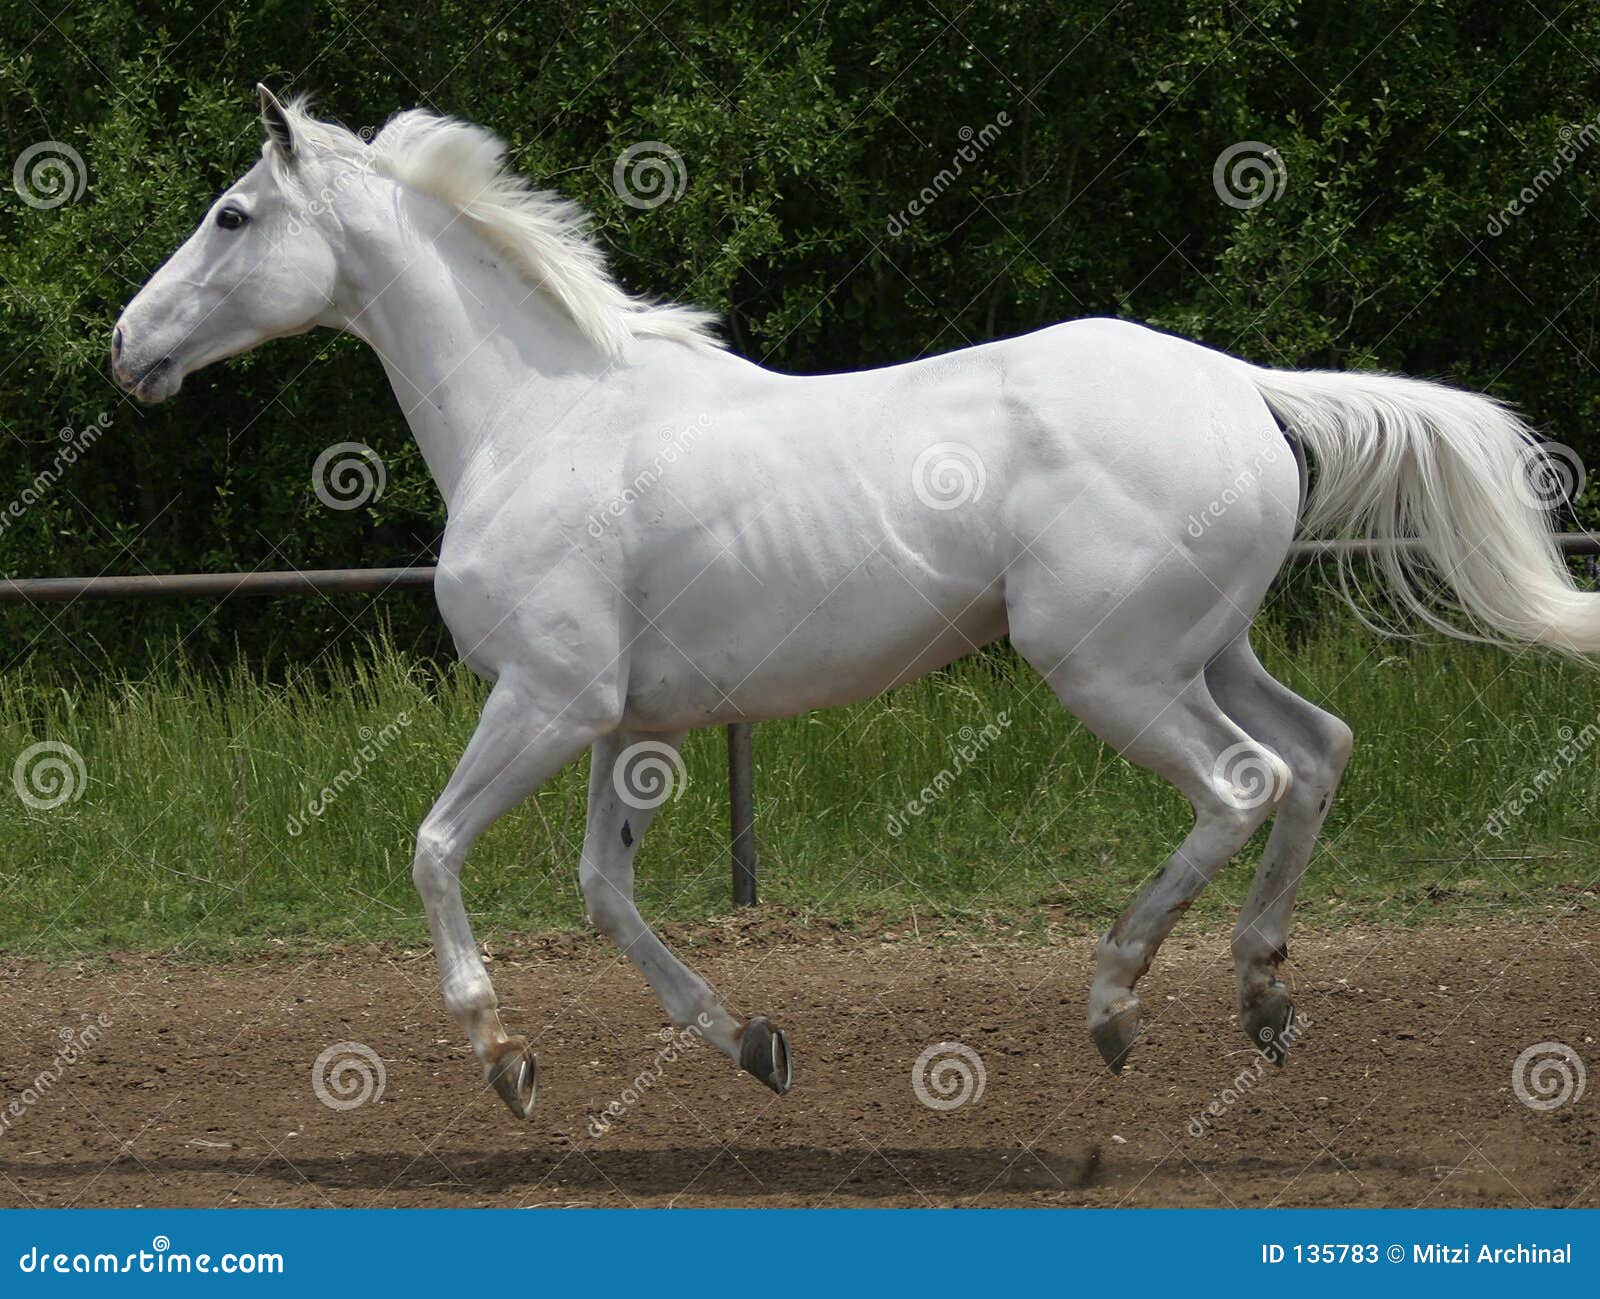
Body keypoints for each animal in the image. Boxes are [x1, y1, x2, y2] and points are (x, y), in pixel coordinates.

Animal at [113, 87, 1599, 1120]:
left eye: (232, 215)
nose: (128, 348)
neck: (540, 420)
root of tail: (1239, 380)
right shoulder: (632, 725)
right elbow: (603, 892)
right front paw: (753, 1044)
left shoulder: (547, 700)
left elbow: (432, 848)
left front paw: (505, 1056)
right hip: (1205, 649)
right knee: (1320, 752)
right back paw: (1264, 996)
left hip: (1109, 667)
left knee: (1243, 782)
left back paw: (1117, 1004)